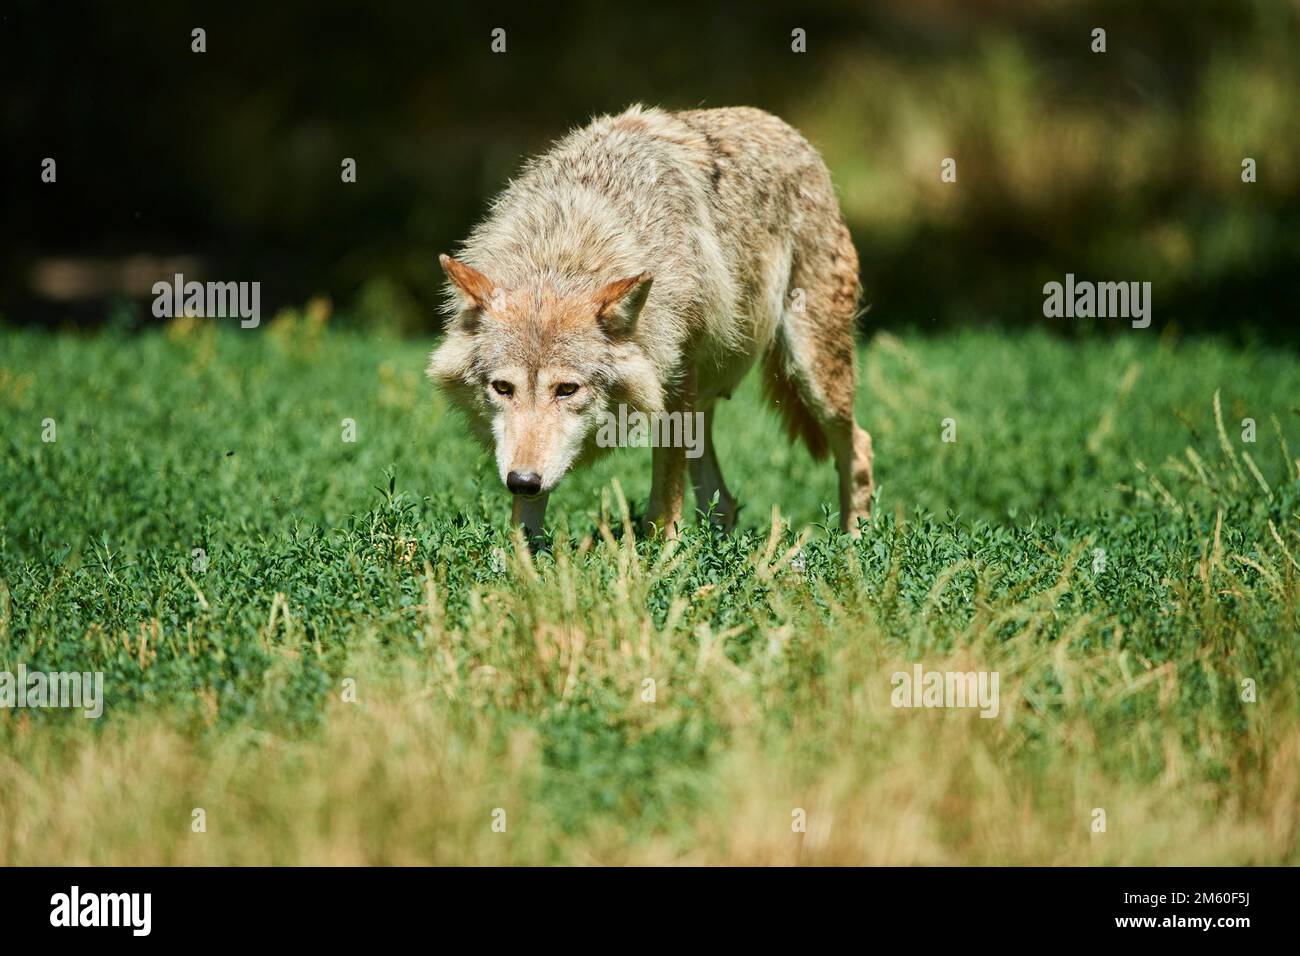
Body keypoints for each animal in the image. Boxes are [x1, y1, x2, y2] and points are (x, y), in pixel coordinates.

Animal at [427, 104, 874, 539]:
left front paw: (662, 558)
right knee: (724, 503)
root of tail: (789, 131)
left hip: (811, 376)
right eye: (503, 388)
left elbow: (663, 508)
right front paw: (524, 562)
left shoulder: (672, 384)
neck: (566, 251)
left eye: (567, 389)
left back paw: (854, 545)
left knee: (860, 447)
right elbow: (525, 525)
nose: (521, 480)